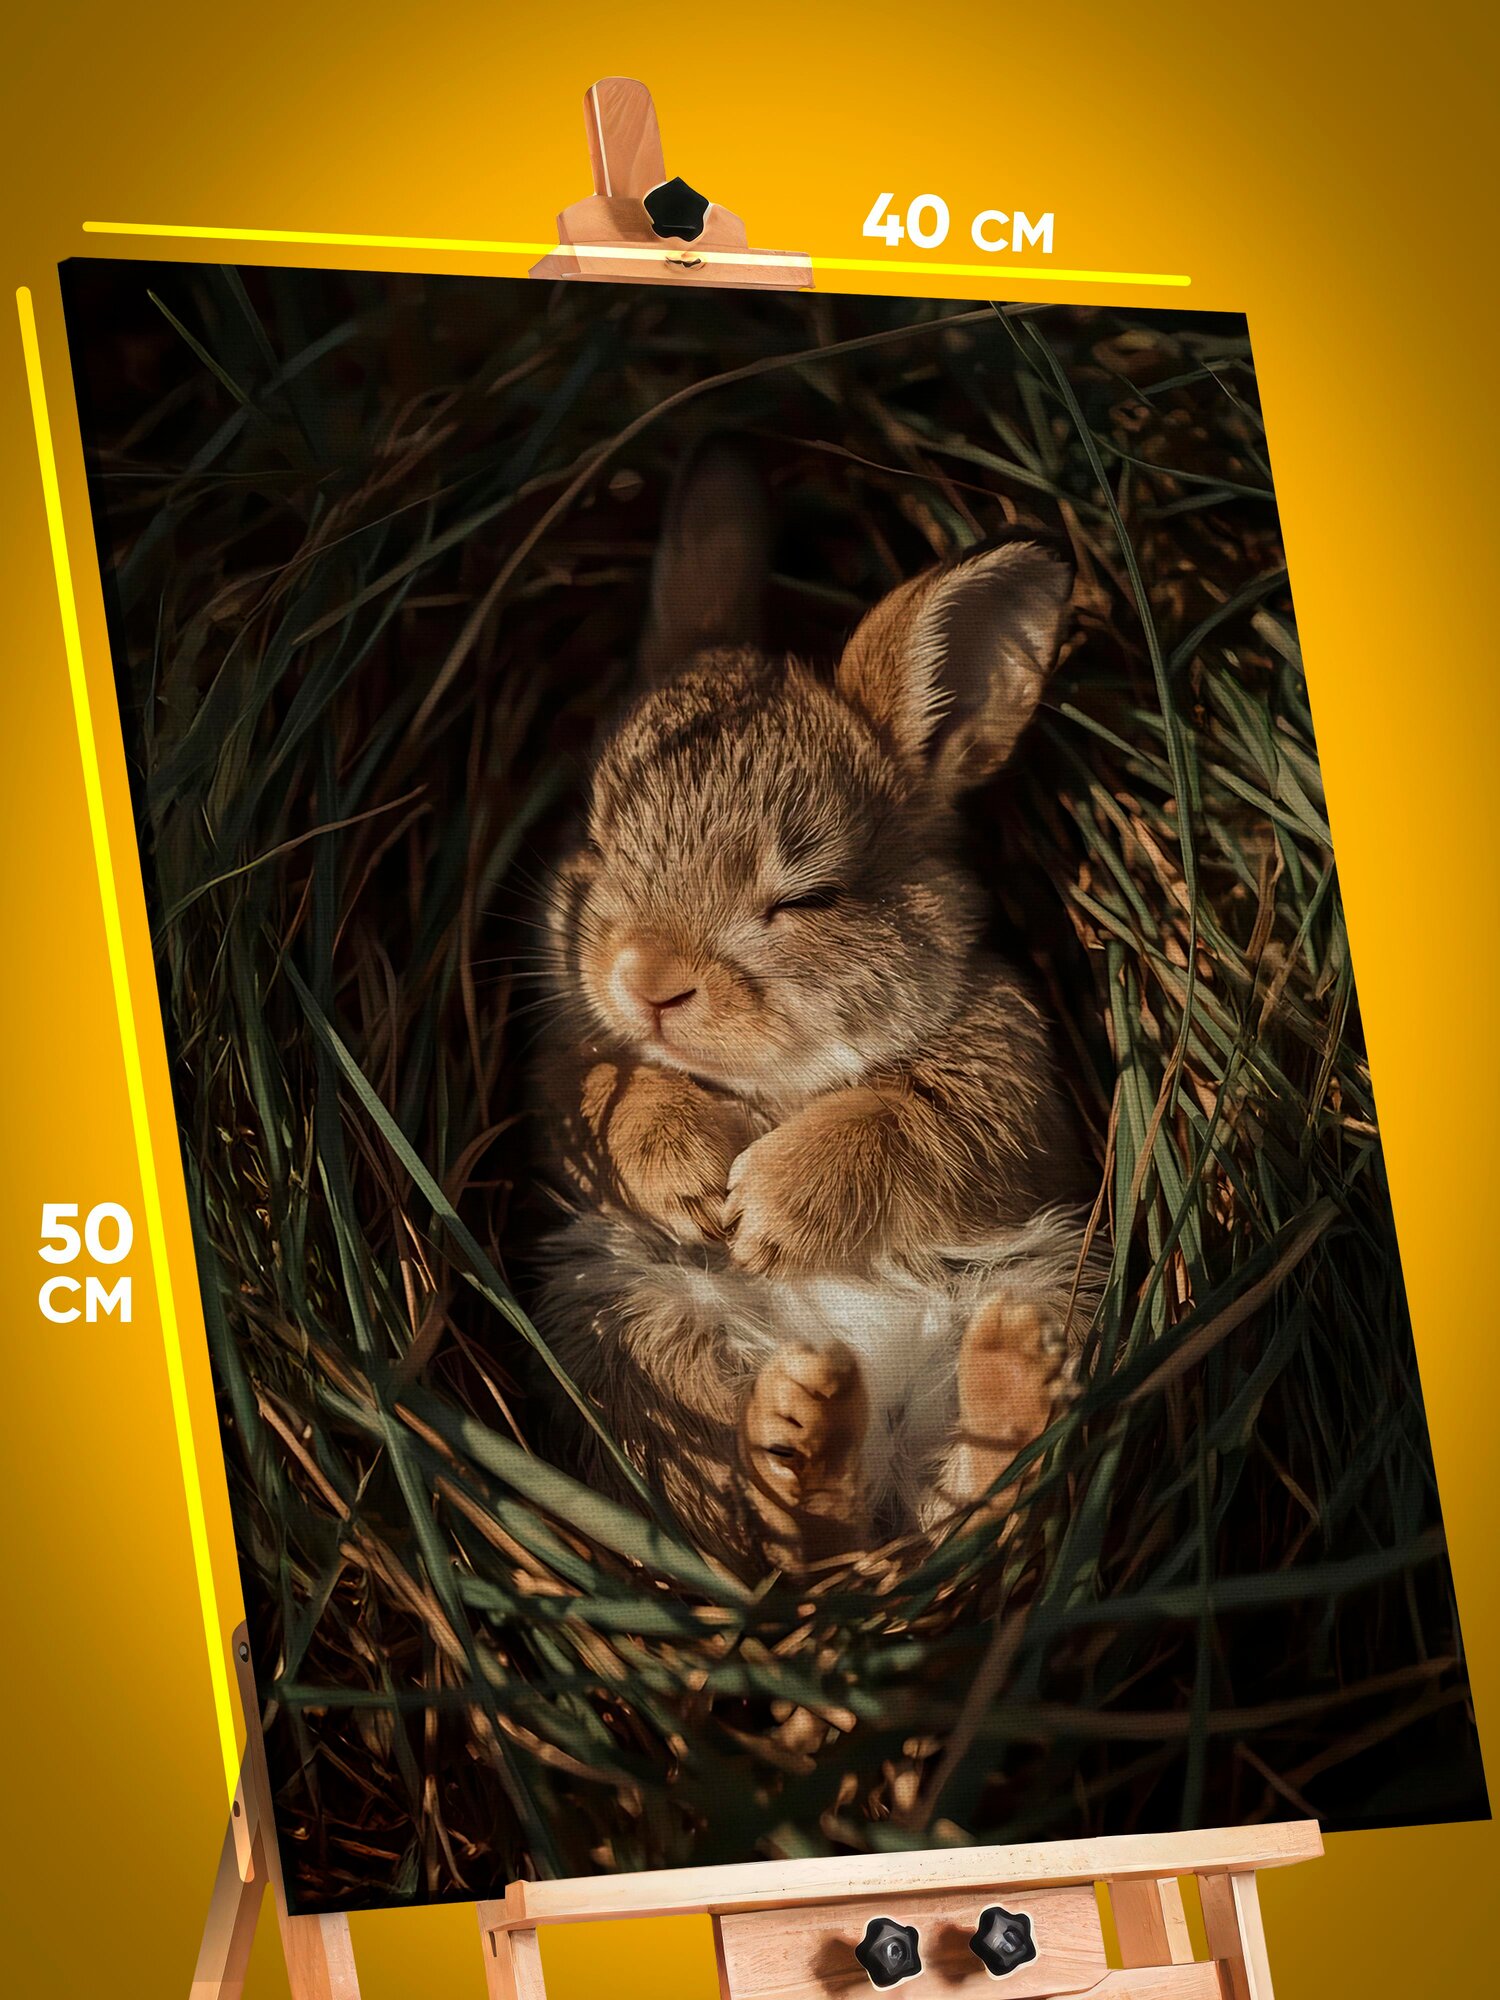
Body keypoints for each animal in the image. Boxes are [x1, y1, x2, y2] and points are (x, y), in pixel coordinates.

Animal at [532, 442, 1099, 1576]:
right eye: (600, 841)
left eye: (810, 897)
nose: (646, 976)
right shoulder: (569, 1072)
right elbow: (602, 1097)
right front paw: (693, 1172)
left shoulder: (1015, 1089)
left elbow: (909, 1121)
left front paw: (765, 1205)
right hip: (640, 1332)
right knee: (783, 1538)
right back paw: (810, 1432)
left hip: (1044, 1277)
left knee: (959, 1505)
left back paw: (991, 1379)